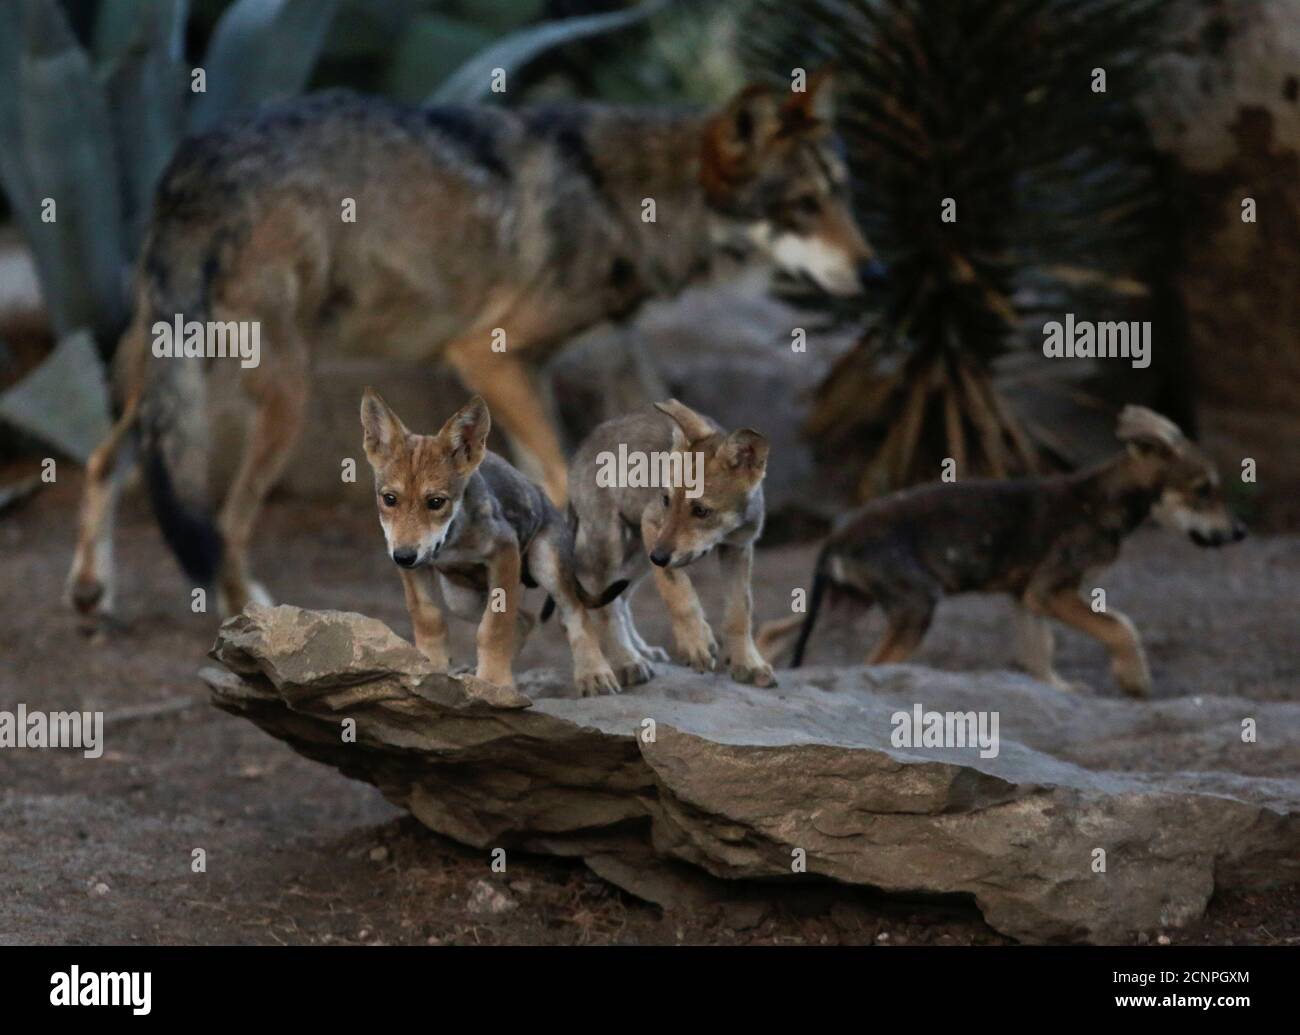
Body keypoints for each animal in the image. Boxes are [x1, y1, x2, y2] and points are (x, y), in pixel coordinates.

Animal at [66, 70, 882, 622]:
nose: (876, 271)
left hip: (177, 370)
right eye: (803, 206)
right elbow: (558, 478)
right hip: (279, 389)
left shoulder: (526, 371)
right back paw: (251, 612)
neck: (626, 200)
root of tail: (190, 157)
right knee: (225, 521)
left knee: (106, 458)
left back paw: (90, 588)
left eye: (844, 194)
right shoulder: (491, 355)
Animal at [360, 390, 624, 694]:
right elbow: (428, 618)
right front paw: (430, 670)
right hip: (460, 597)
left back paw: (594, 674)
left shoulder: (504, 551)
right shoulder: (415, 567)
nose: (404, 556)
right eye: (389, 499)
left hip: (546, 563)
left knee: (574, 614)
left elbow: (494, 626)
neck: (450, 540)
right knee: (524, 619)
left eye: (436, 502)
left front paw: (495, 681)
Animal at [568, 399, 773, 689]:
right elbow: (678, 592)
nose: (658, 557)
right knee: (605, 608)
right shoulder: (653, 525)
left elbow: (740, 612)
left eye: (701, 511)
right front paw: (695, 643)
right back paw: (627, 662)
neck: (723, 532)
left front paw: (748, 663)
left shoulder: (739, 547)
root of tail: (581, 447)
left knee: (621, 600)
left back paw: (642, 651)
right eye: (666, 499)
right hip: (614, 547)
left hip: (637, 558)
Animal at [757, 407, 1246, 697]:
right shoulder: (1050, 592)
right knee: (869, 663)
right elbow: (1120, 626)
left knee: (775, 630)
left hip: (845, 603)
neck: (1101, 499)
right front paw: (1135, 680)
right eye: (1203, 491)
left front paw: (1058, 689)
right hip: (913, 607)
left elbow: (1039, 650)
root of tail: (836, 537)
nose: (1240, 532)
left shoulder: (1024, 597)